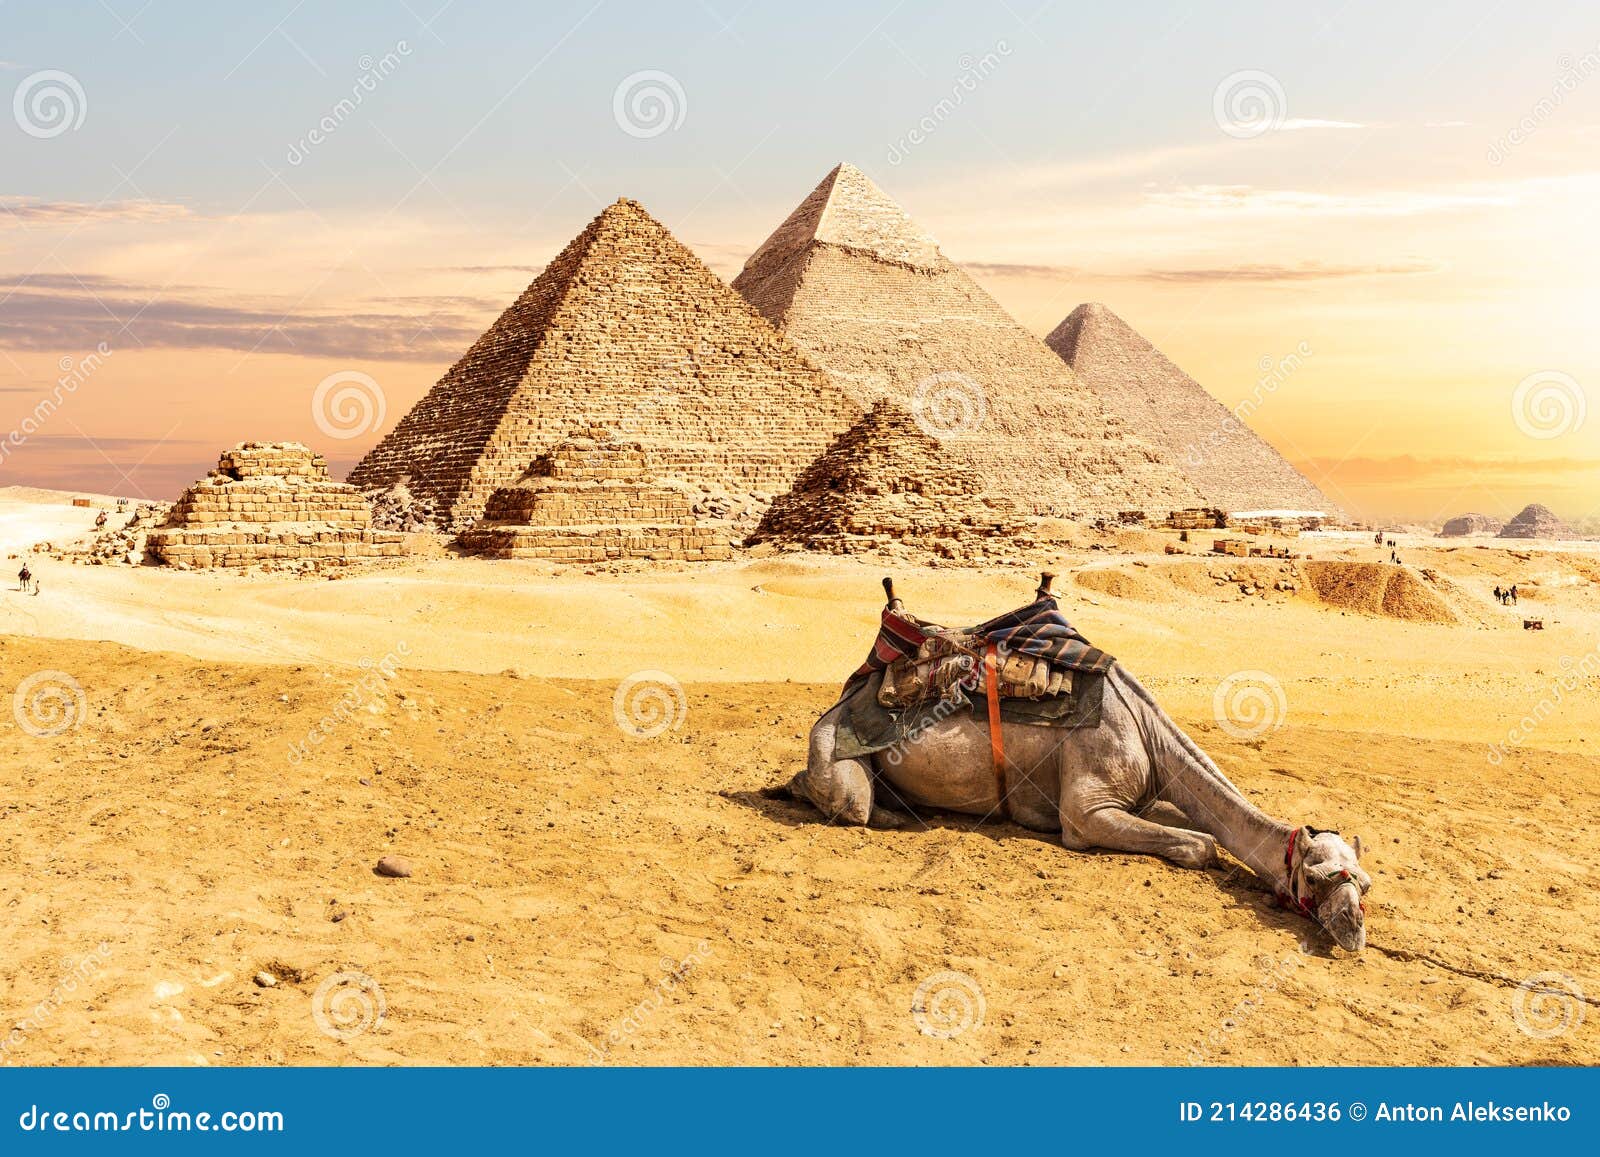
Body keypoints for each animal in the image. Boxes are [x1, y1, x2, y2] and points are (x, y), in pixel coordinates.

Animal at [789, 585, 1372, 952]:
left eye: (1365, 884)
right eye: (1315, 878)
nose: (1354, 928)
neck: (1149, 734)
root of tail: (849, 694)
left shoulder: (1143, 796)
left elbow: (1191, 826)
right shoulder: (1086, 810)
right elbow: (1200, 844)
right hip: (834, 746)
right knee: (853, 804)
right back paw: (897, 815)